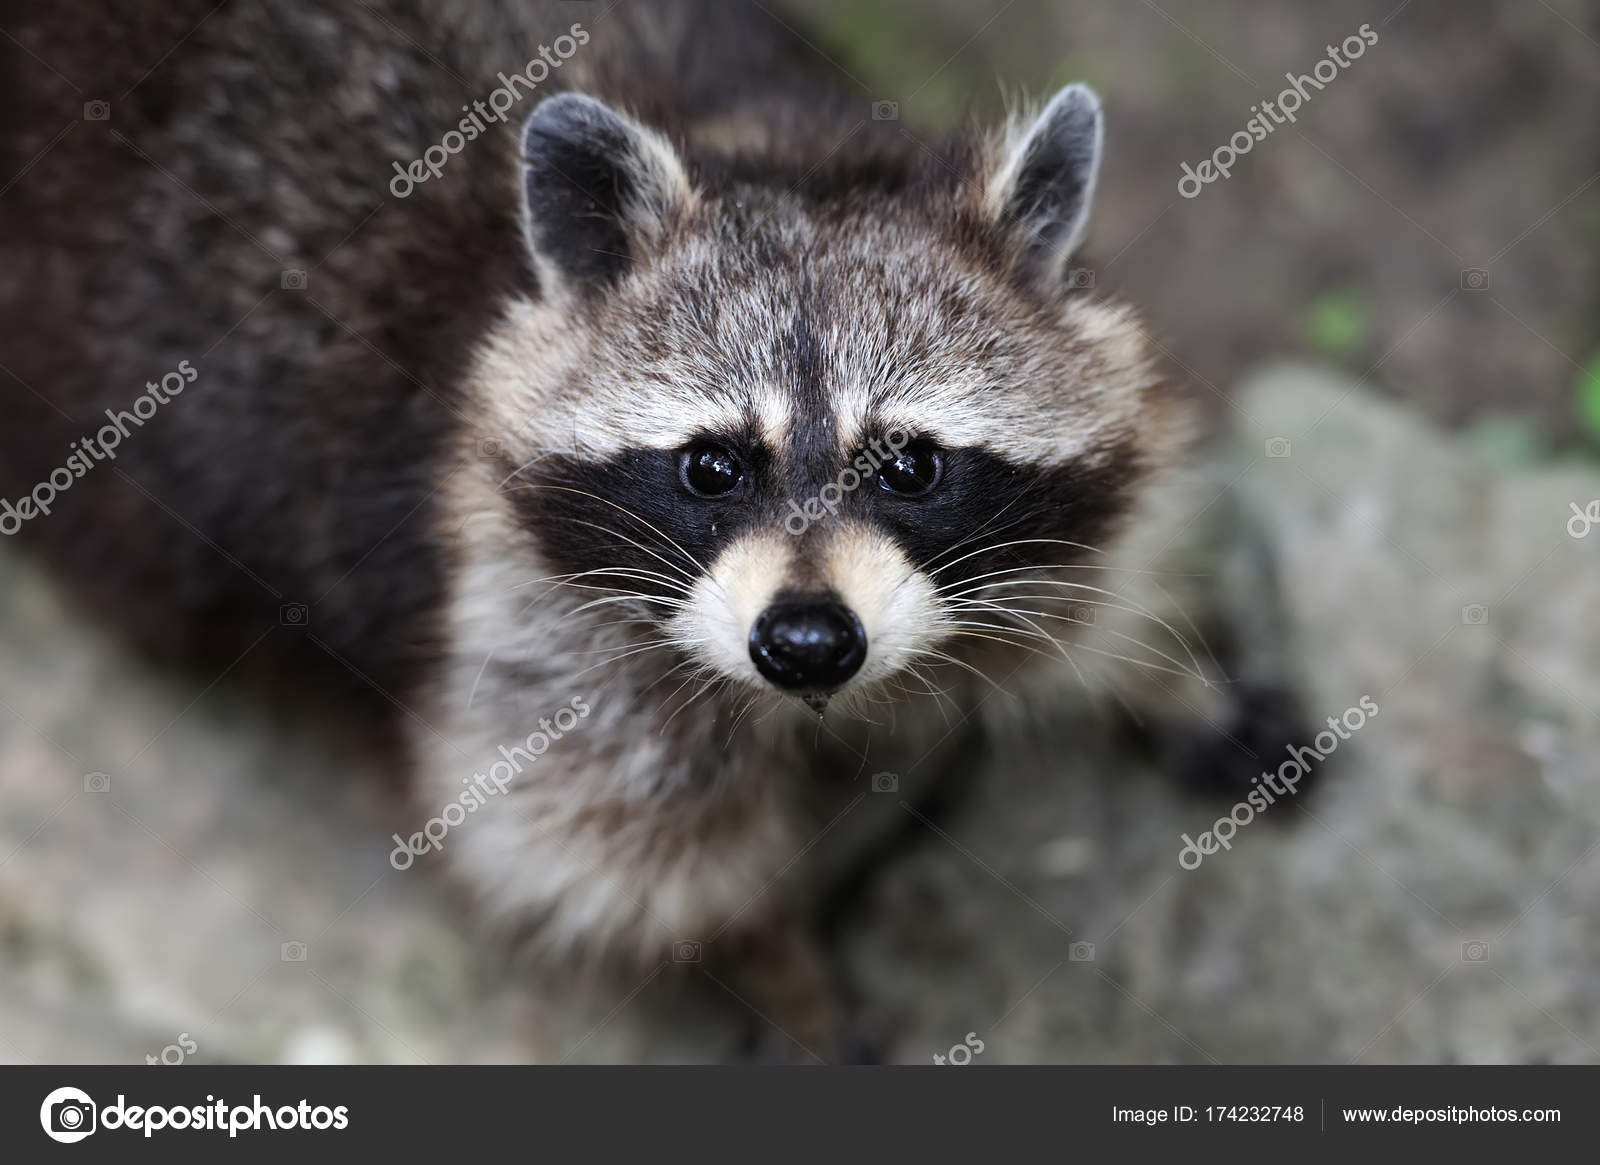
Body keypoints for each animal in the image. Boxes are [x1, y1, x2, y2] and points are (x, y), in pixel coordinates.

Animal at [0, 0, 1297, 1058]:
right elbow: (613, 856)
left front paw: (1162, 669)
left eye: (911, 465)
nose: (807, 644)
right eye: (712, 466)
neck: (776, 154)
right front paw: (777, 966)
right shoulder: (520, 622)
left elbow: (1095, 566)